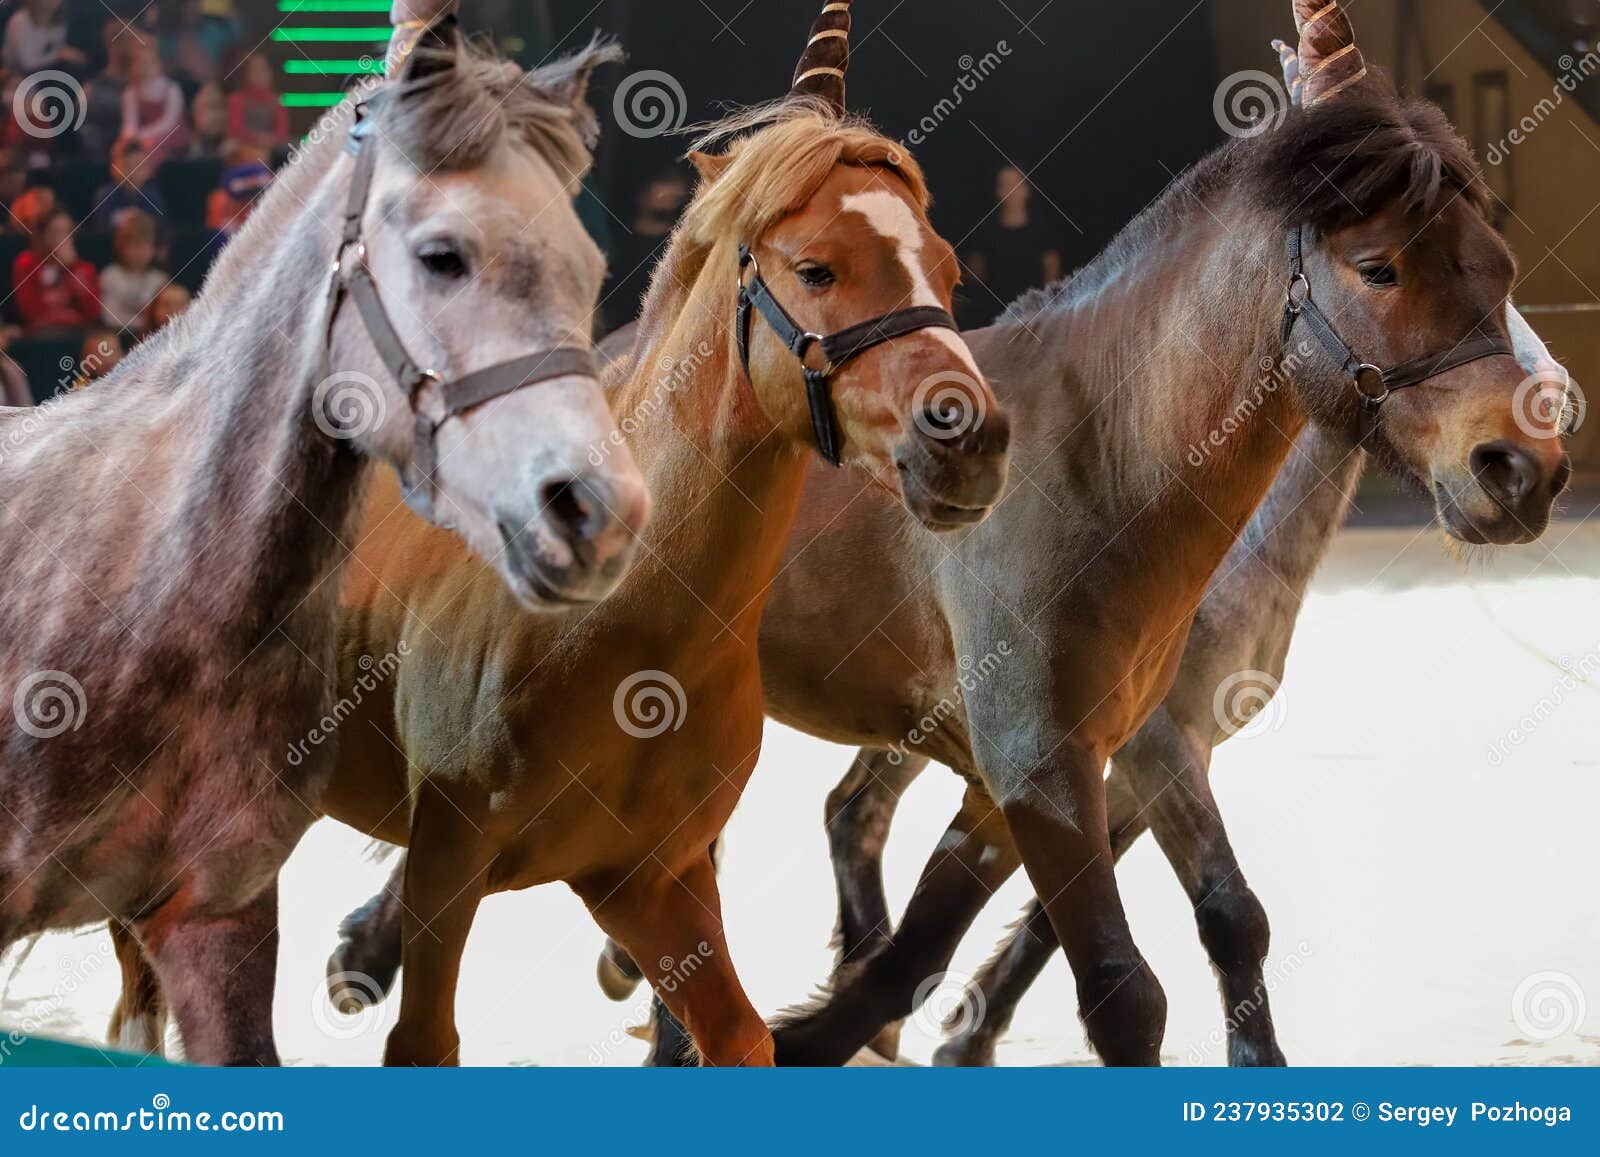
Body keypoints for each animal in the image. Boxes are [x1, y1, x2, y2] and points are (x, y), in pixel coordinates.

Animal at [299, 0, 1009, 1067]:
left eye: (948, 268)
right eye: (817, 268)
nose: (972, 442)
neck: (622, 635)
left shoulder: (652, 874)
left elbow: (737, 1036)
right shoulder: (450, 860)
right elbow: (423, 1039)